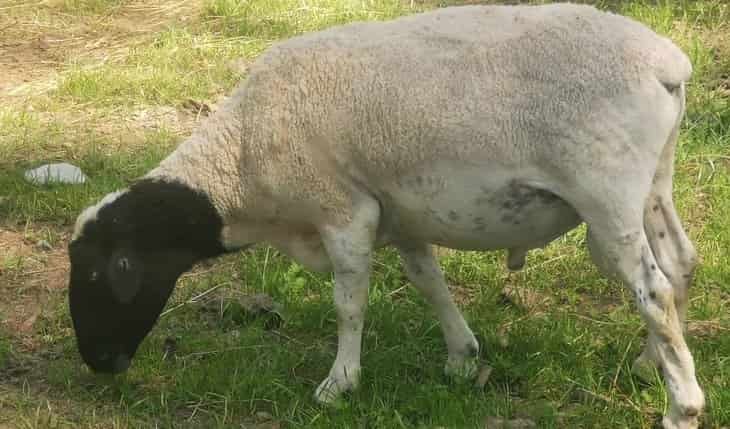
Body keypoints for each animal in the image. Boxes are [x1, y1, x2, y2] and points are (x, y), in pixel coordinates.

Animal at [67, 3, 703, 428]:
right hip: (653, 182)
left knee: (652, 290)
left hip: (606, 191)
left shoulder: (342, 209)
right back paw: (652, 364)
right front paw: (461, 357)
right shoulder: (399, 213)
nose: (97, 364)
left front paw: (339, 384)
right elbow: (429, 283)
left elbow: (349, 305)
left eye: (101, 274)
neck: (241, 162)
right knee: (679, 265)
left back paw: (683, 405)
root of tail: (665, 63)